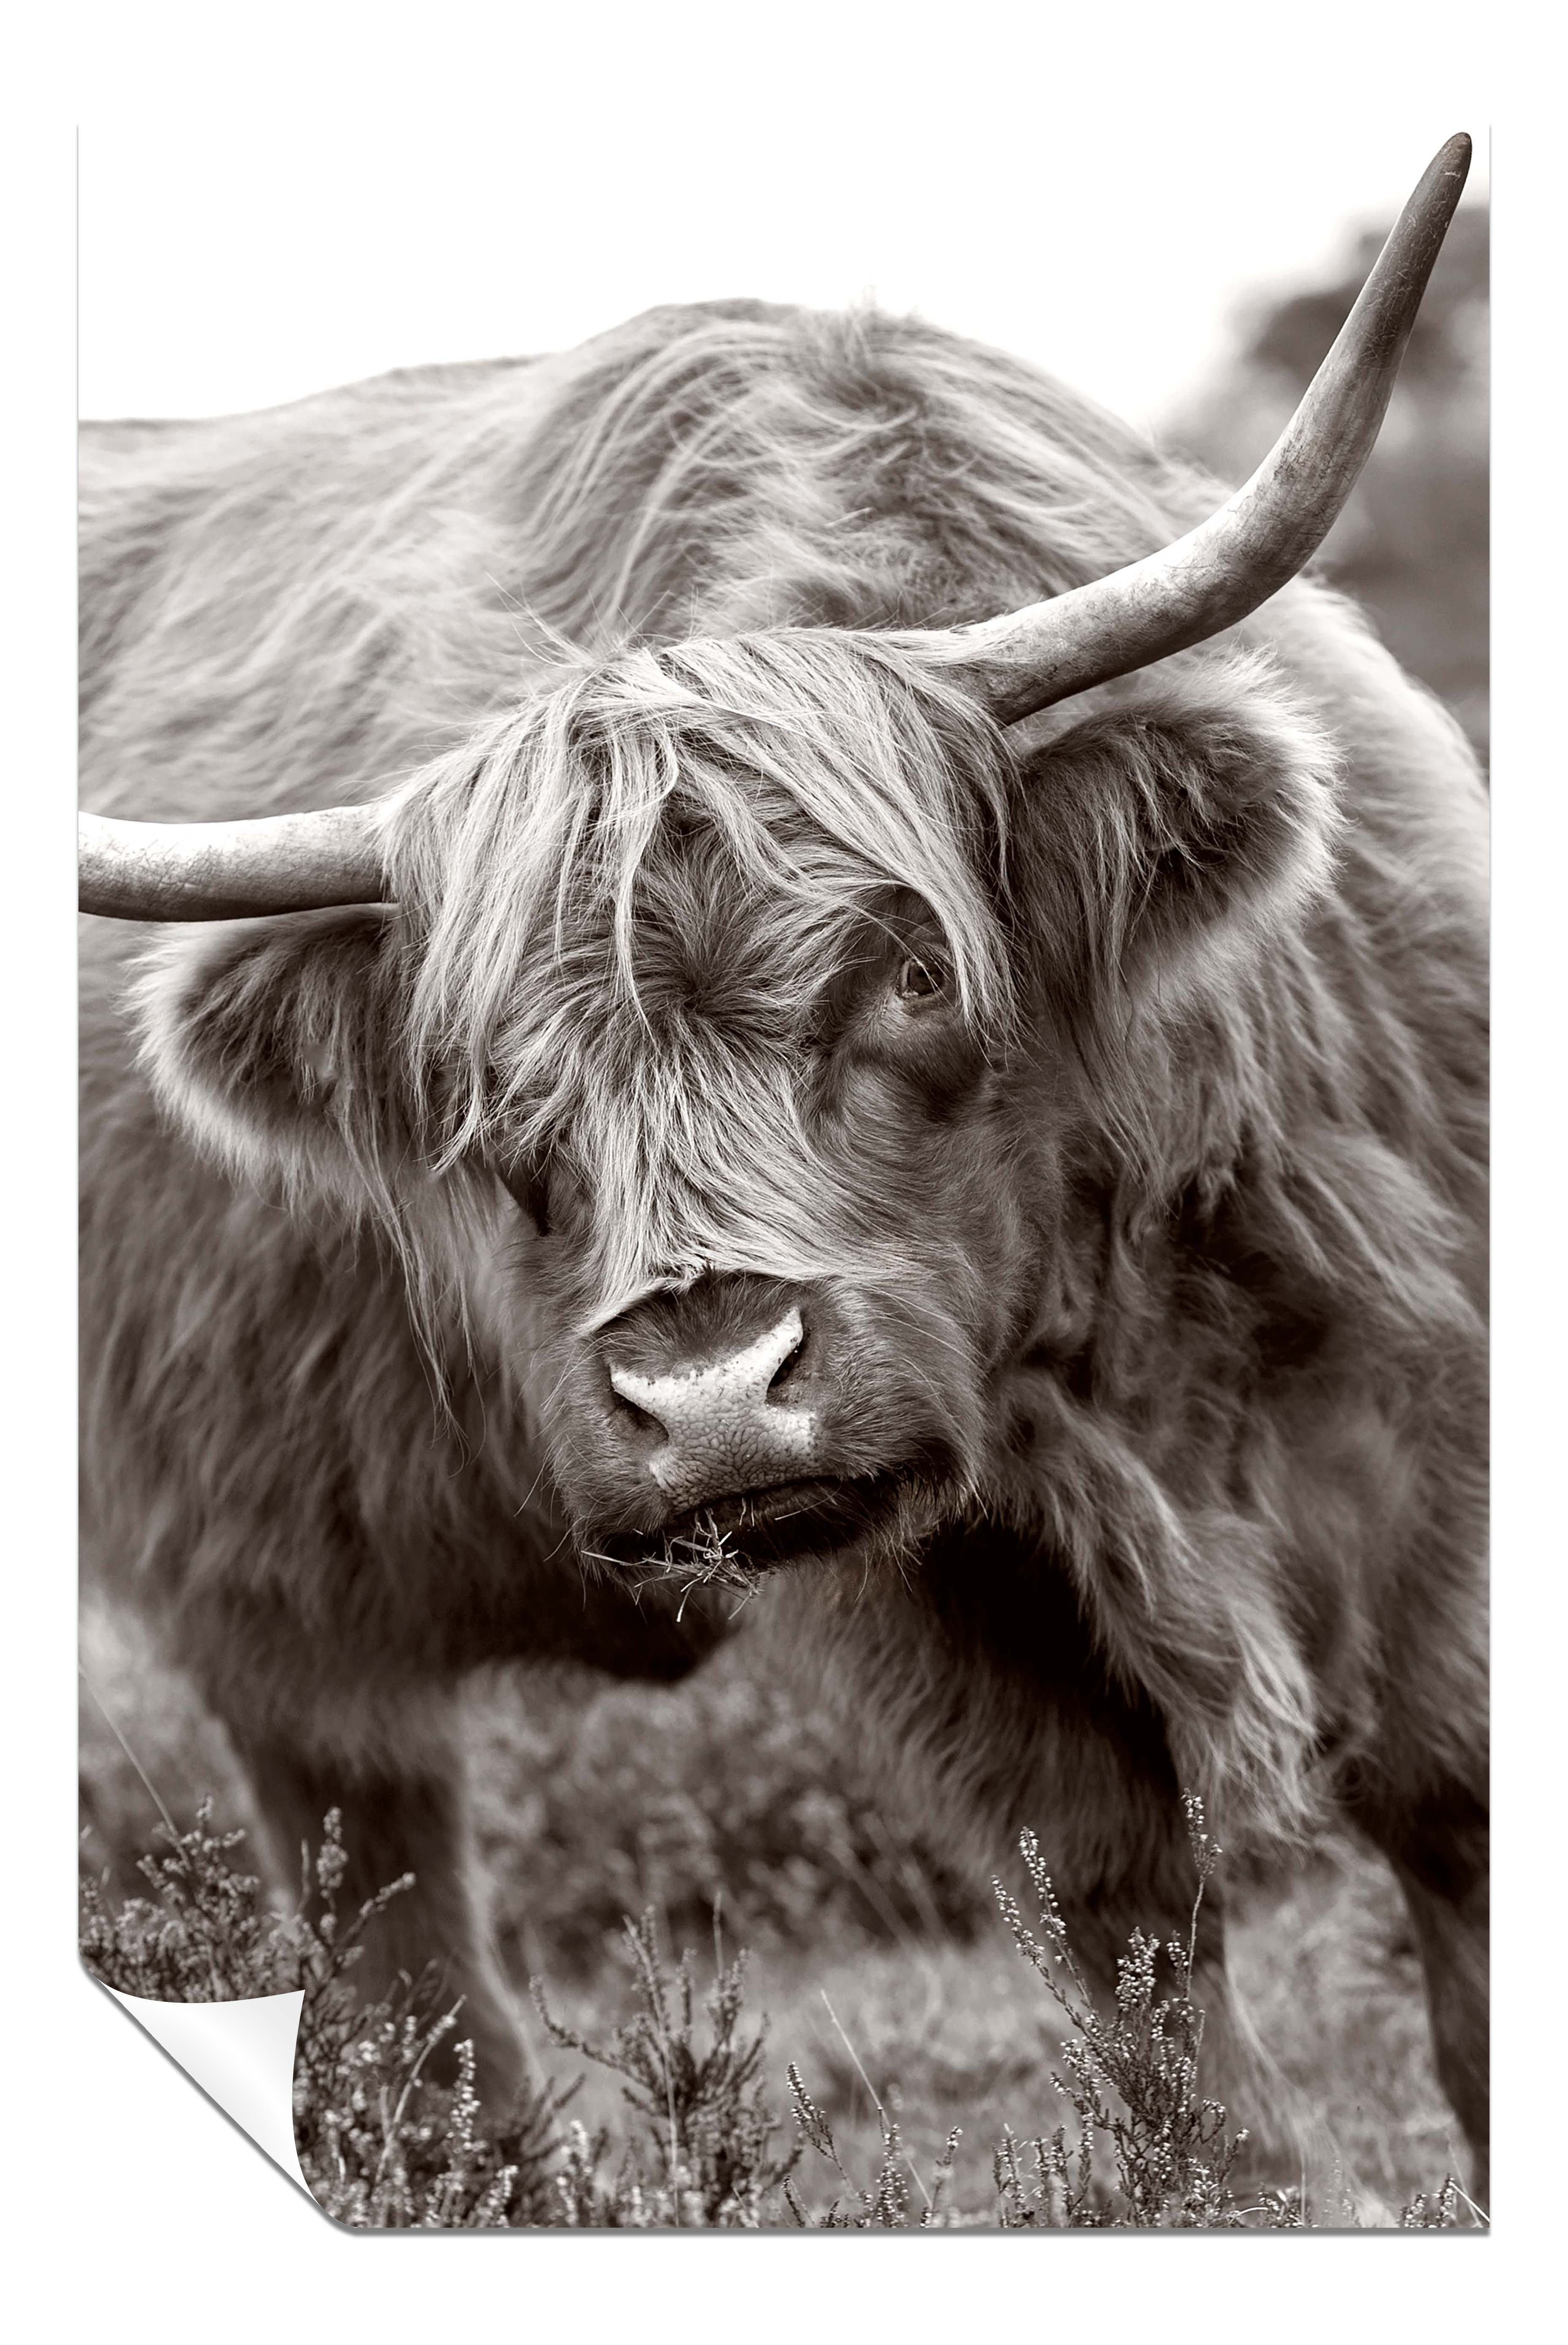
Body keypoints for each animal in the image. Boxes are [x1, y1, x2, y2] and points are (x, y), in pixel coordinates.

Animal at [80, 137, 1487, 2195]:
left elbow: (1456, 1824)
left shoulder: (1430, 1415)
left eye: (909, 973)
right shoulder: (939, 1599)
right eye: (487, 1087)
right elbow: (1132, 1944)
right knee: (391, 1921)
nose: (709, 1395)